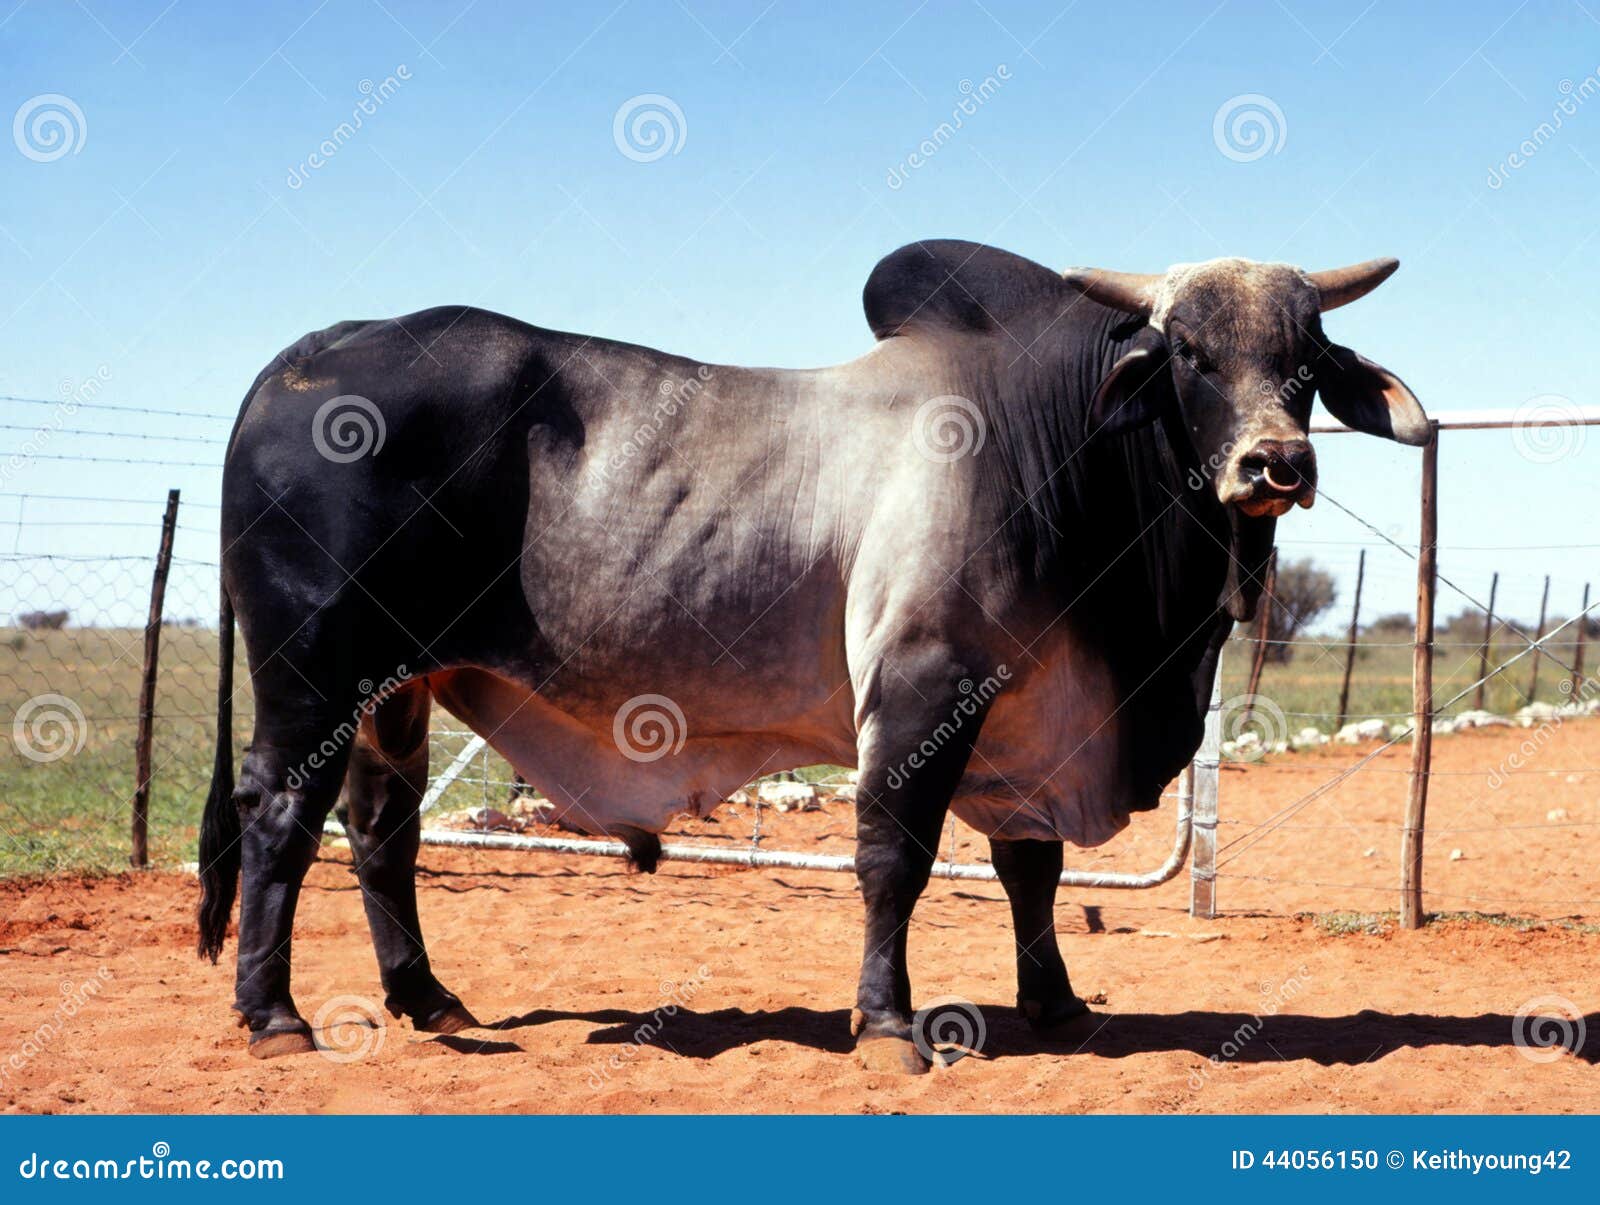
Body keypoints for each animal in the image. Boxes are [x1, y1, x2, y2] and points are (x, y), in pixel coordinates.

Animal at [197, 239, 1427, 1072]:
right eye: (1189, 354)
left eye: (1306, 358)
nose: (1274, 463)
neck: (1065, 446)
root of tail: (310, 352)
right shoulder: (927, 685)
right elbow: (896, 857)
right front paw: (886, 1021)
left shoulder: (1028, 715)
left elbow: (1031, 869)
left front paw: (1058, 1003)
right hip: (313, 671)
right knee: (281, 816)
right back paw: (276, 1018)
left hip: (396, 685)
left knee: (381, 830)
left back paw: (428, 999)